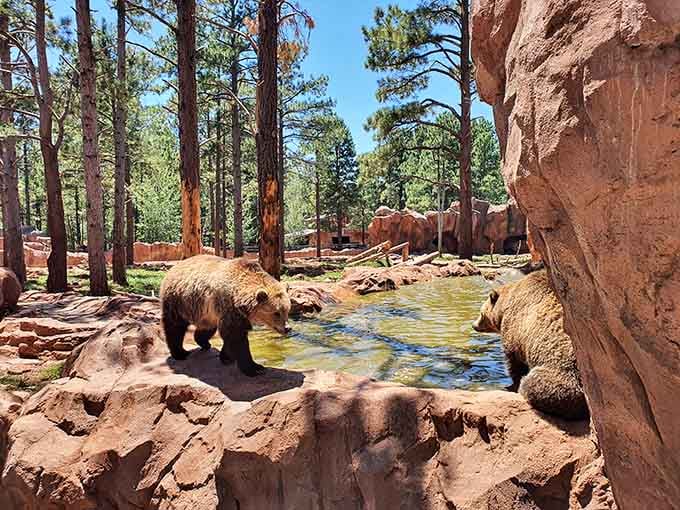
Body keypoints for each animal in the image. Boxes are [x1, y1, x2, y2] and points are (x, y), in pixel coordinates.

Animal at [159, 255, 291, 376]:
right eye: (276, 313)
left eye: (287, 310)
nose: (287, 328)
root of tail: (173, 268)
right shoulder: (230, 307)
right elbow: (236, 337)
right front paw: (255, 367)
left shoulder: (235, 313)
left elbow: (232, 335)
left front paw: (227, 357)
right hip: (178, 301)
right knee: (174, 326)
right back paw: (180, 353)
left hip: (205, 311)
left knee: (207, 326)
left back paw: (204, 343)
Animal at [472, 270, 588, 420]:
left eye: (481, 313)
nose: (473, 325)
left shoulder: (515, 331)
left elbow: (514, 362)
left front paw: (513, 384)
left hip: (562, 371)